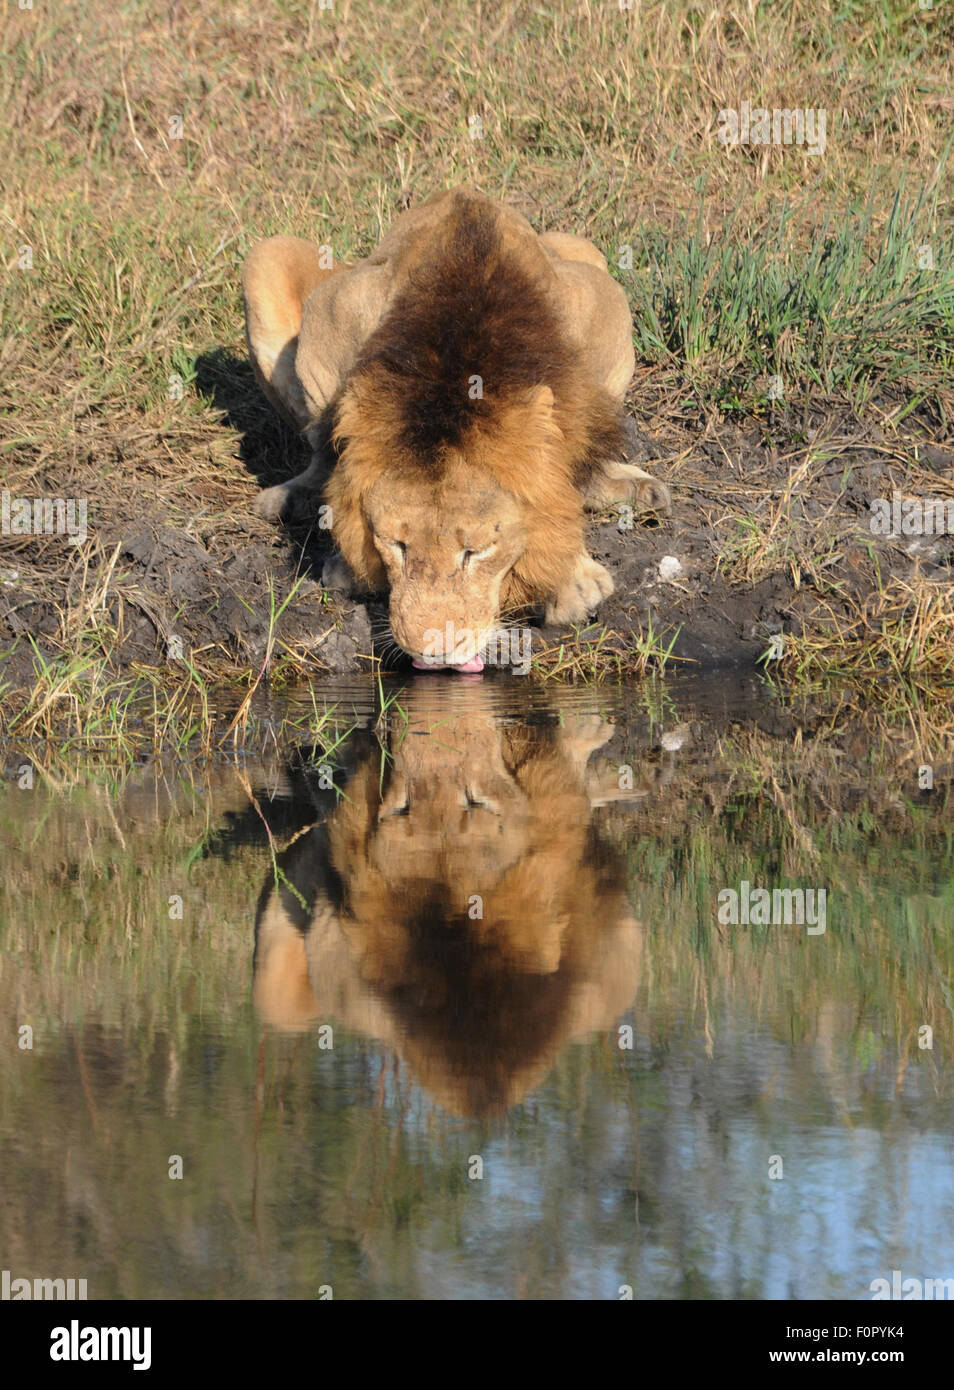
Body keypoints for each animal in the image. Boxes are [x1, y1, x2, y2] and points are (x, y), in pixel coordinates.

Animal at [243, 188, 670, 671]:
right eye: (396, 544)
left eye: (477, 551)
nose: (433, 652)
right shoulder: (333, 312)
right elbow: (334, 447)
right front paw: (346, 561)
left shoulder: (601, 303)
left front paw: (571, 579)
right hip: (265, 255)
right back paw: (294, 499)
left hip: (583, 249)